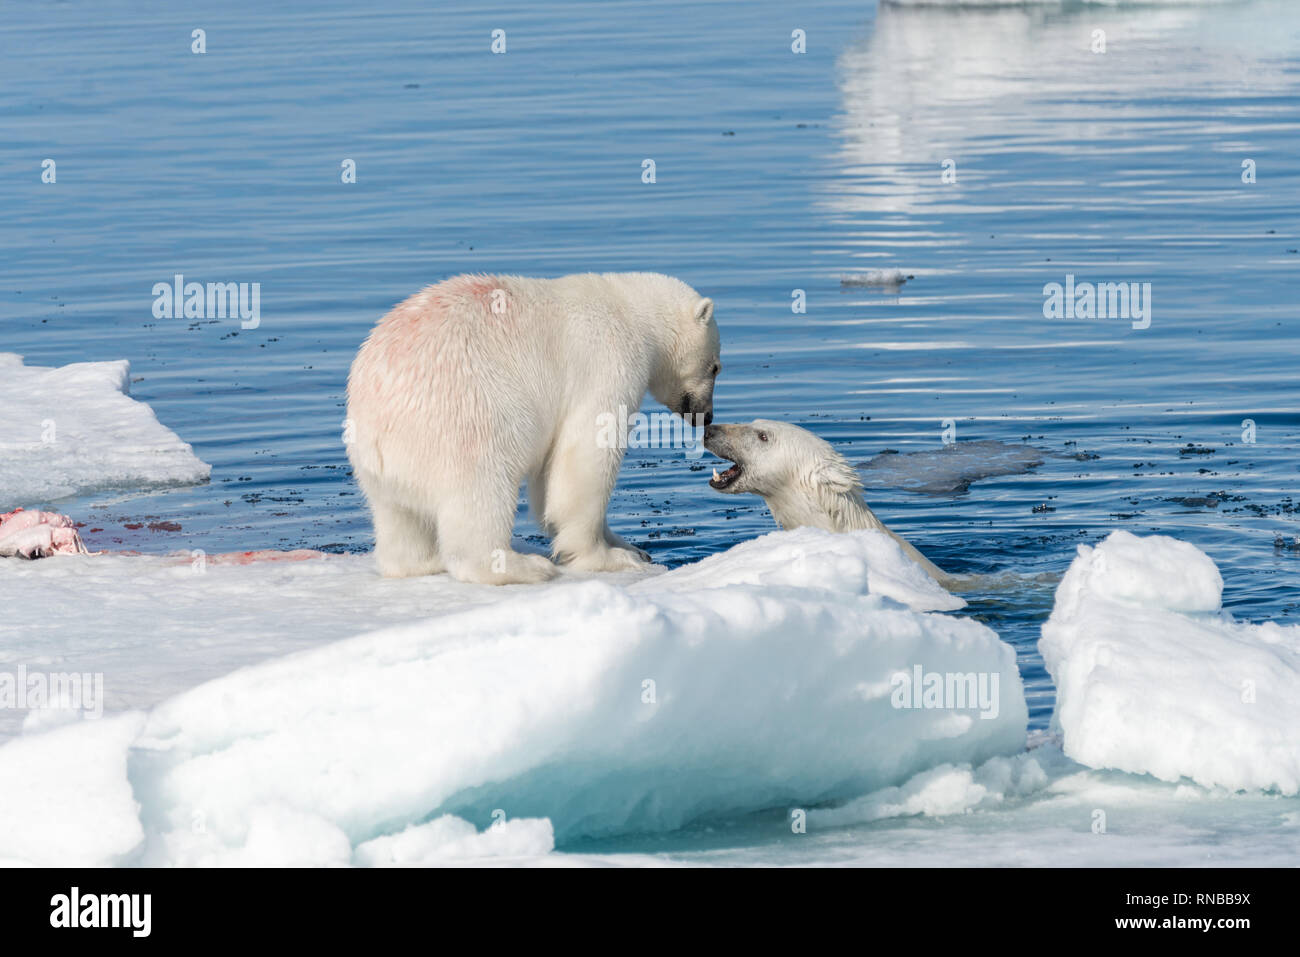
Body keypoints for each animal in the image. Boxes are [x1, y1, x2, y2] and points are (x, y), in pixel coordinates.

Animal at [346, 272, 721, 584]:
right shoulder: (609, 360)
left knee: (399, 518)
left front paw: (634, 548)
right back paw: (523, 566)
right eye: (716, 366)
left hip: (381, 471)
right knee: (481, 493)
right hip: (465, 419)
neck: (630, 309)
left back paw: (421, 563)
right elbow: (583, 458)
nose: (706, 416)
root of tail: (379, 437)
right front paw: (608, 557)